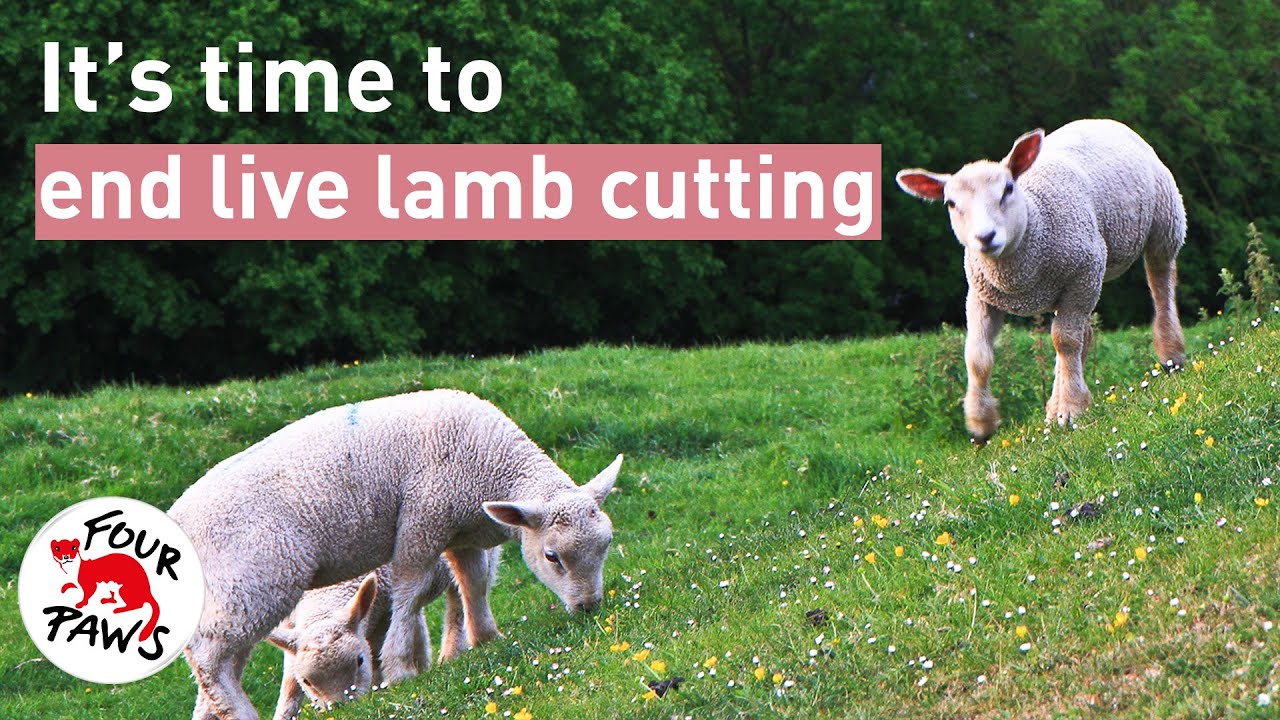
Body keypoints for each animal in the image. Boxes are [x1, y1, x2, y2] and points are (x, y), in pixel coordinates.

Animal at [266, 548, 500, 720]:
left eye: (359, 661)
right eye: (306, 681)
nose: (344, 710)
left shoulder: (383, 612)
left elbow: (378, 655)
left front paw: (380, 690)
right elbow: (289, 683)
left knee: (462, 595)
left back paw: (452, 653)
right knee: (416, 618)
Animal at [895, 119, 1186, 439]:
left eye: (1008, 189)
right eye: (950, 203)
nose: (985, 237)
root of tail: (1099, 120)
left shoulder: (1083, 271)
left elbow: (1065, 341)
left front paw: (1071, 407)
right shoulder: (981, 294)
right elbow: (977, 356)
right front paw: (981, 422)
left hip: (1163, 222)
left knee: (1160, 282)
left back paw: (1171, 353)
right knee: (1083, 333)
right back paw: (1053, 407)